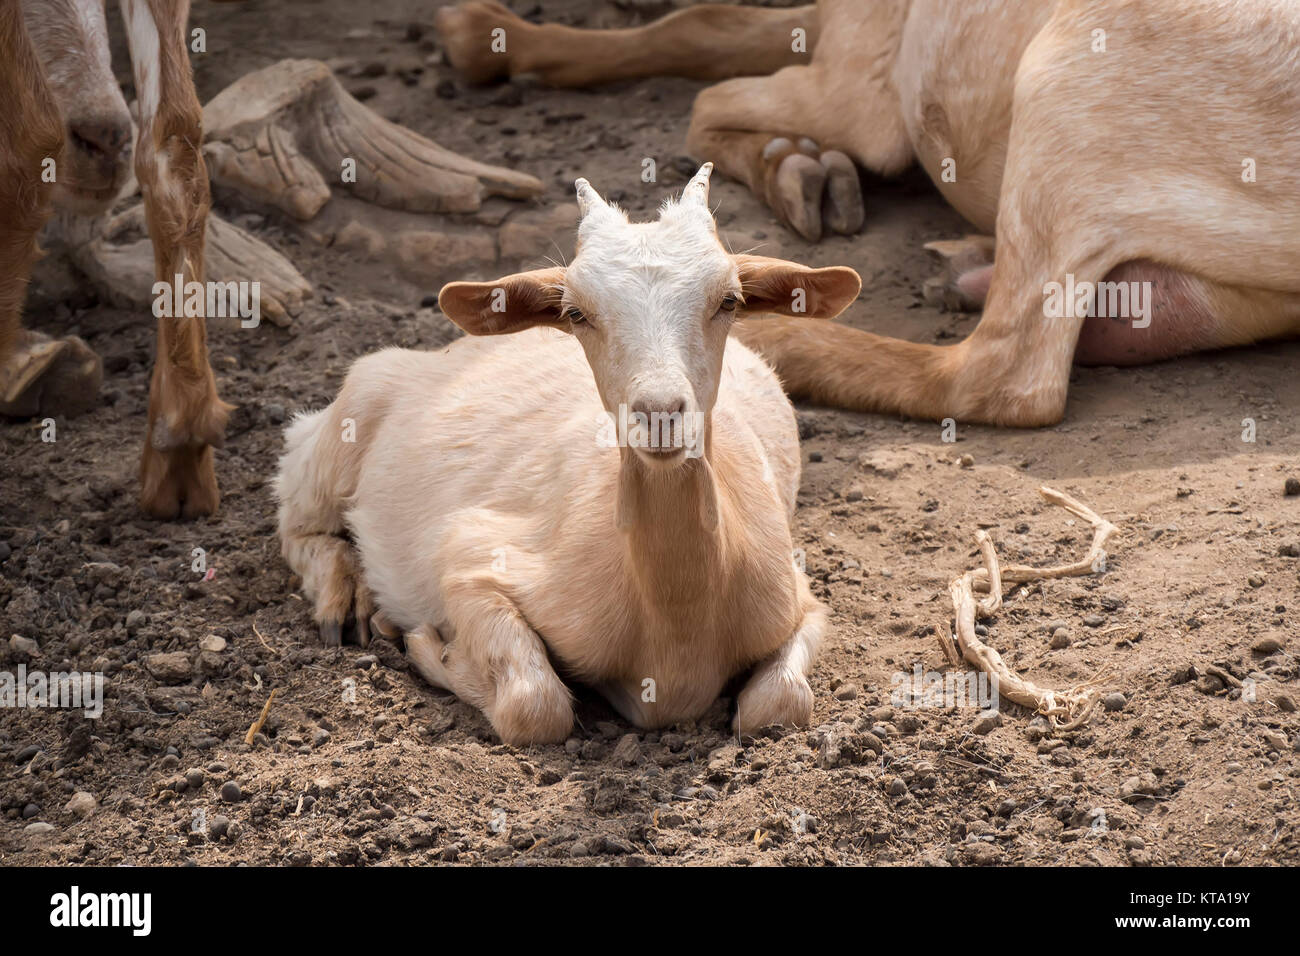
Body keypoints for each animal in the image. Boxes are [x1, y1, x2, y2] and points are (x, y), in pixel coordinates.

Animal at [275, 166, 861, 745]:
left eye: (730, 301)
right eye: (576, 313)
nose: (660, 414)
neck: (676, 628)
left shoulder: (799, 595)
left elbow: (781, 702)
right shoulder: (471, 557)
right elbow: (534, 705)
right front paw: (427, 646)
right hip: (353, 409)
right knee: (297, 506)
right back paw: (344, 600)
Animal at [437, 0, 1300, 427]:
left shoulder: (865, 83)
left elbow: (705, 89)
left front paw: (796, 166)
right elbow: (712, 27)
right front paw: (489, 34)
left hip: (1067, 82)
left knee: (1002, 379)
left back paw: (774, 336)